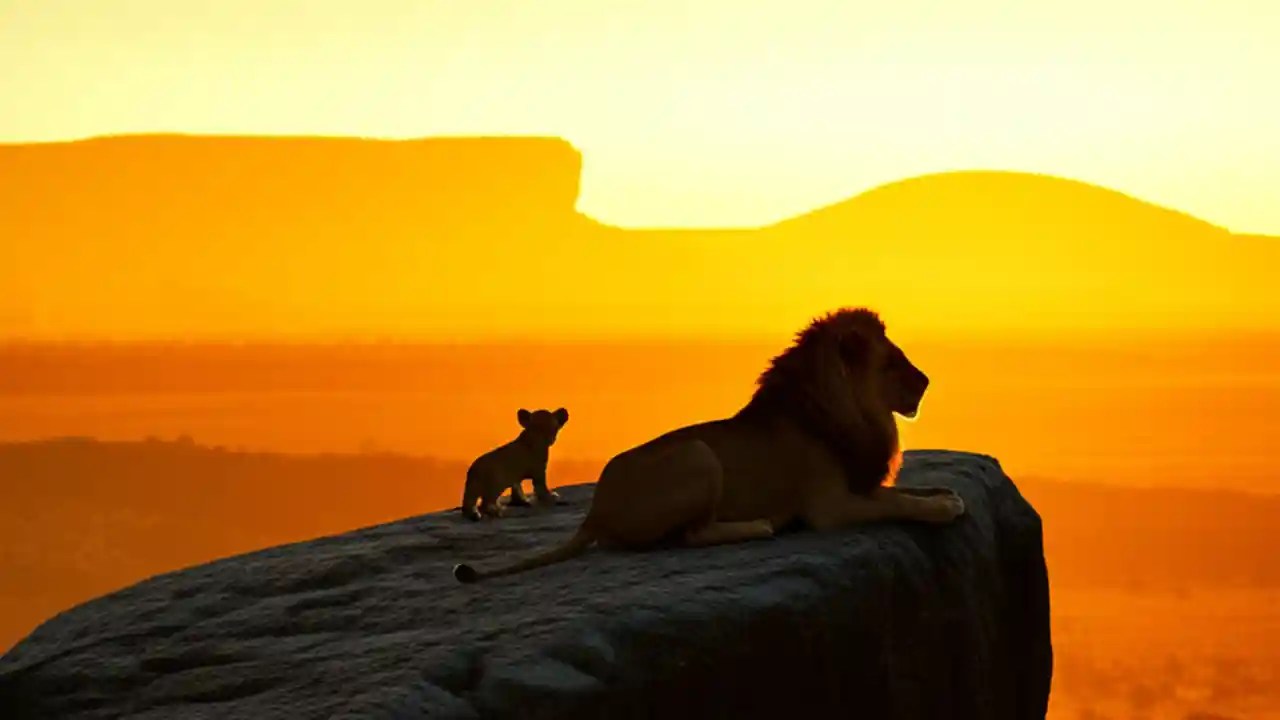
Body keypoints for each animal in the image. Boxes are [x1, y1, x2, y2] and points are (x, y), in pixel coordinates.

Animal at [452, 308, 964, 582]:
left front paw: (944, 493)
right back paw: (760, 525)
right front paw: (944, 507)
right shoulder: (830, 507)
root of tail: (595, 509)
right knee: (690, 535)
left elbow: (904, 492)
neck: (846, 409)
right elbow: (897, 504)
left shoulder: (858, 484)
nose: (927, 381)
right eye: (892, 362)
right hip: (698, 455)